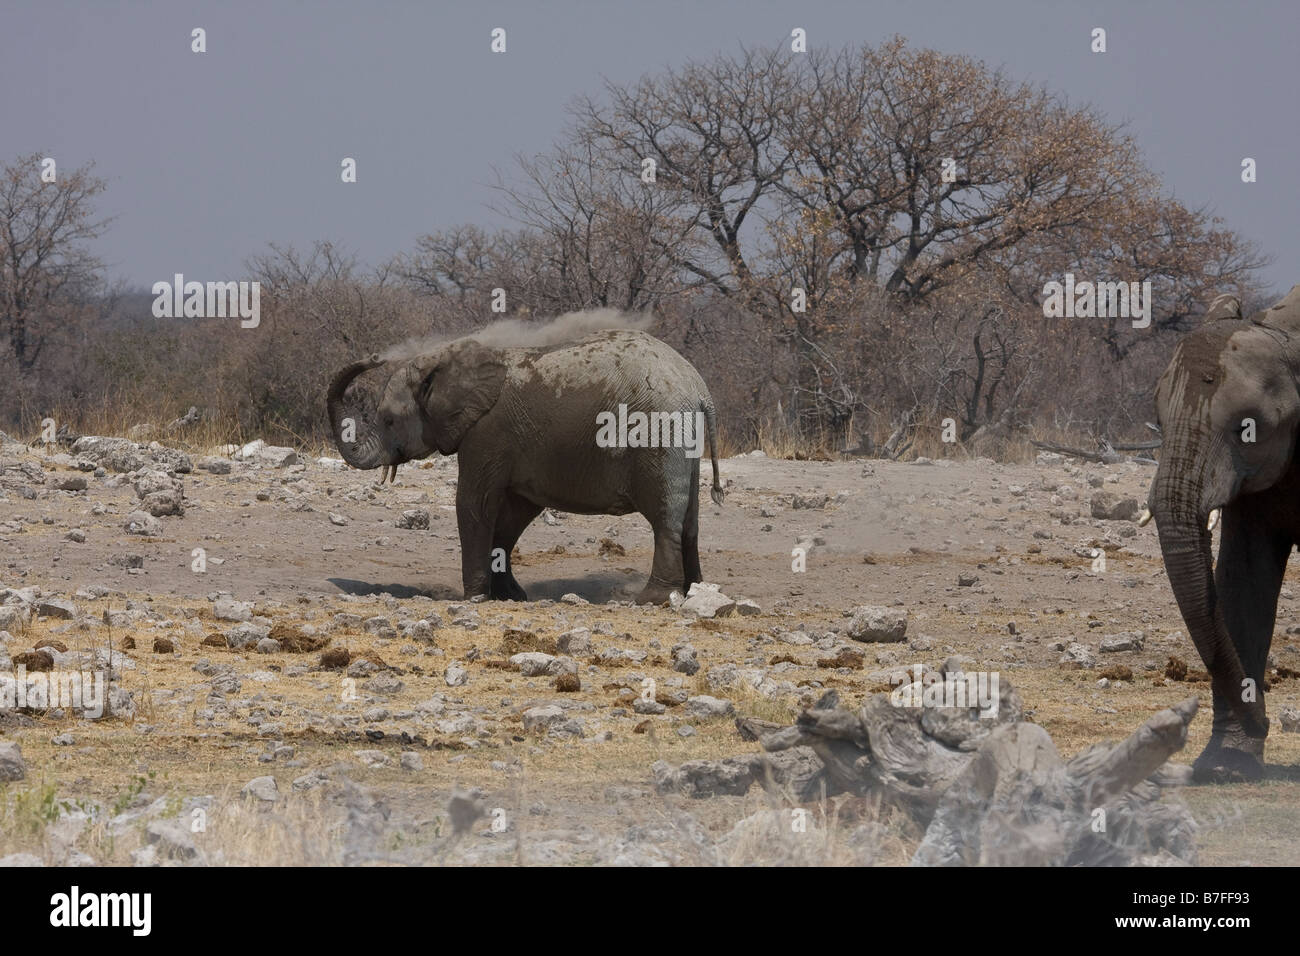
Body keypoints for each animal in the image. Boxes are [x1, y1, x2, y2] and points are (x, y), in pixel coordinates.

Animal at [326, 327, 724, 604]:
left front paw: (474, 598)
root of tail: (699, 390)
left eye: (389, 420)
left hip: (659, 434)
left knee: (664, 519)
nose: (375, 356)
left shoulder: (486, 433)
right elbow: (514, 515)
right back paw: (695, 591)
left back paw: (652, 600)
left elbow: (474, 504)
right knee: (690, 521)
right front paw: (511, 596)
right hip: (683, 440)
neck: (446, 357)